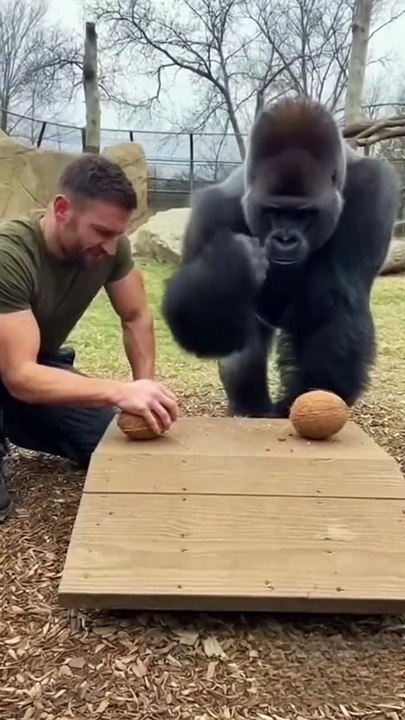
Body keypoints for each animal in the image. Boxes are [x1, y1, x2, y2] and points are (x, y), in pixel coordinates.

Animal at [161, 96, 400, 418]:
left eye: (304, 214)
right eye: (273, 211)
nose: (285, 240)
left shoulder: (372, 190)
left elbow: (335, 302)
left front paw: (303, 400)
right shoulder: (212, 209)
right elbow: (207, 330)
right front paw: (228, 268)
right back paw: (250, 406)